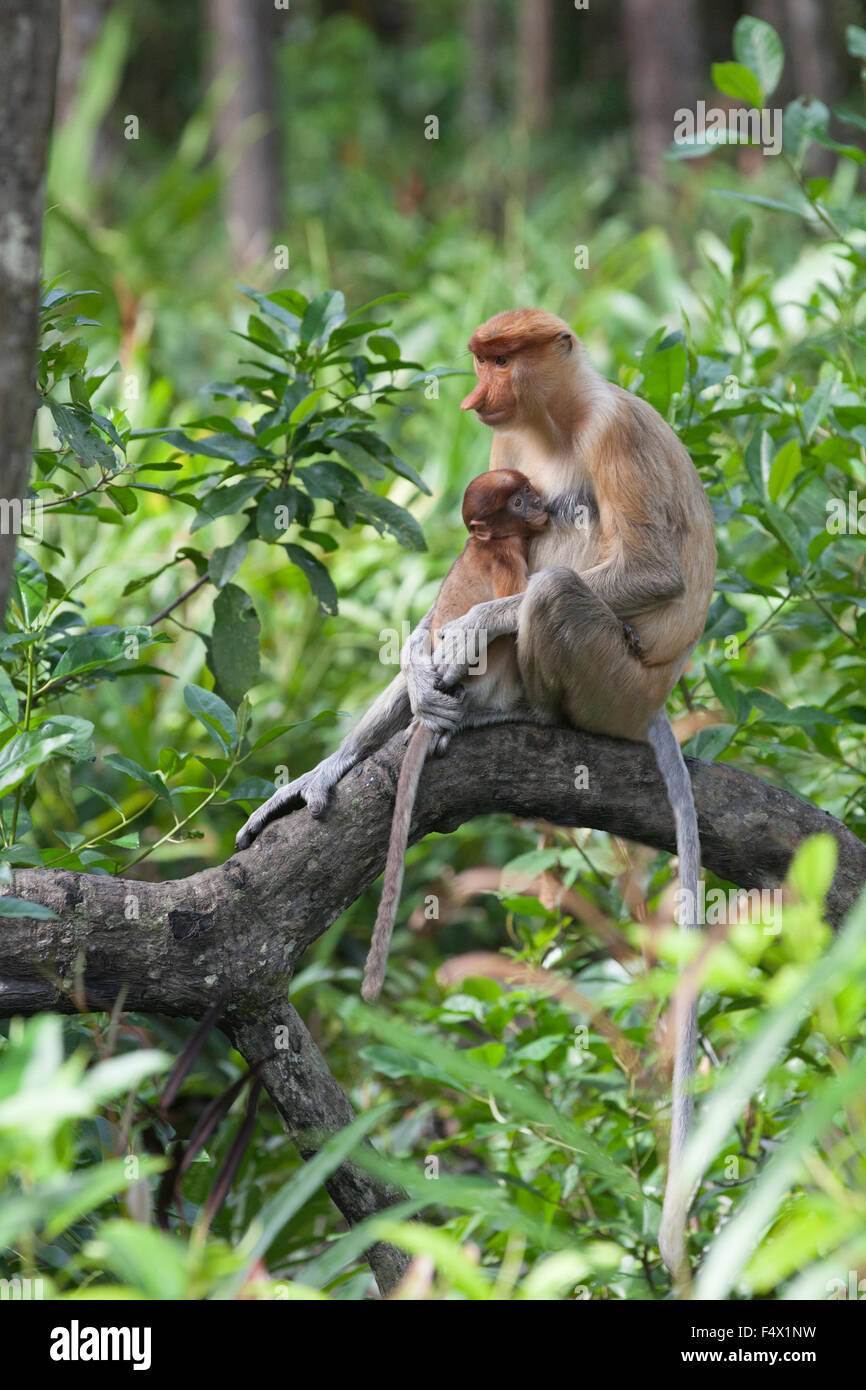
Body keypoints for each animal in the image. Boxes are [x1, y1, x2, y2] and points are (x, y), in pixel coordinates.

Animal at [362, 469, 549, 1003]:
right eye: (519, 502)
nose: (541, 506)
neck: (484, 542)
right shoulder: (507, 559)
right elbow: (511, 616)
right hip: (494, 681)